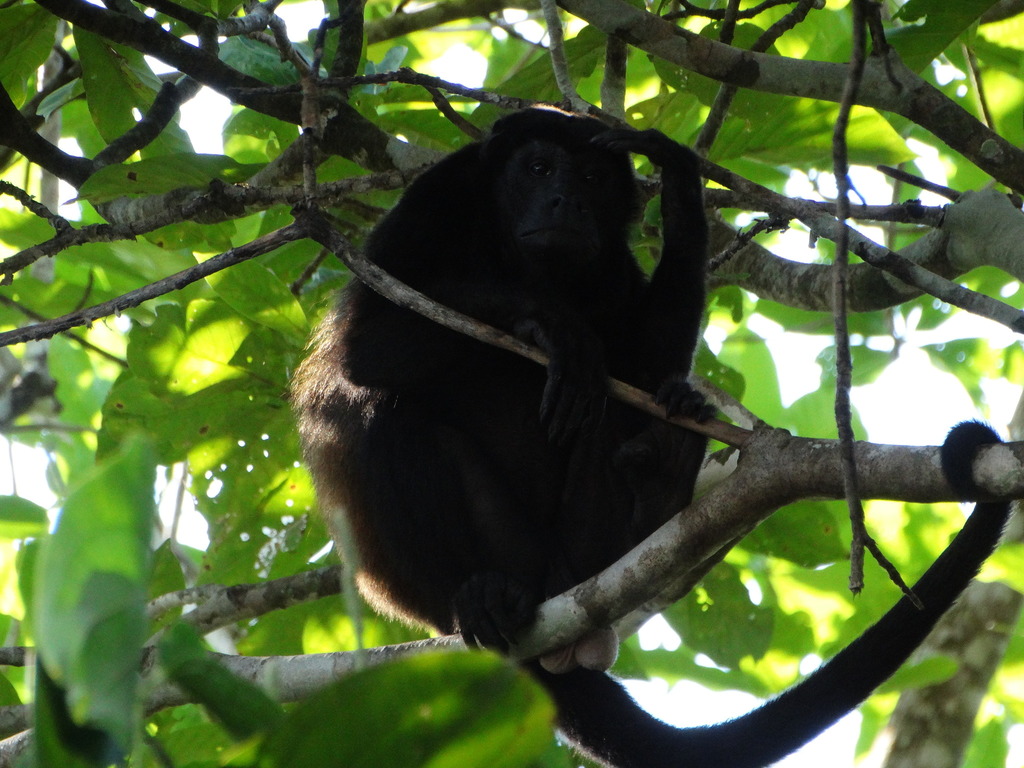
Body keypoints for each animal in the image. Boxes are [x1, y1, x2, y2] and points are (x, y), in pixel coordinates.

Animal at [292, 109, 1013, 767]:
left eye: (590, 176)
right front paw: (551, 324)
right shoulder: (433, 201)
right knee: (390, 415)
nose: (567, 201)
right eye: (538, 168)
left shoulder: (614, 261)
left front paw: (678, 187)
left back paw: (655, 485)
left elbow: (643, 363)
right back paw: (484, 594)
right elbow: (367, 342)